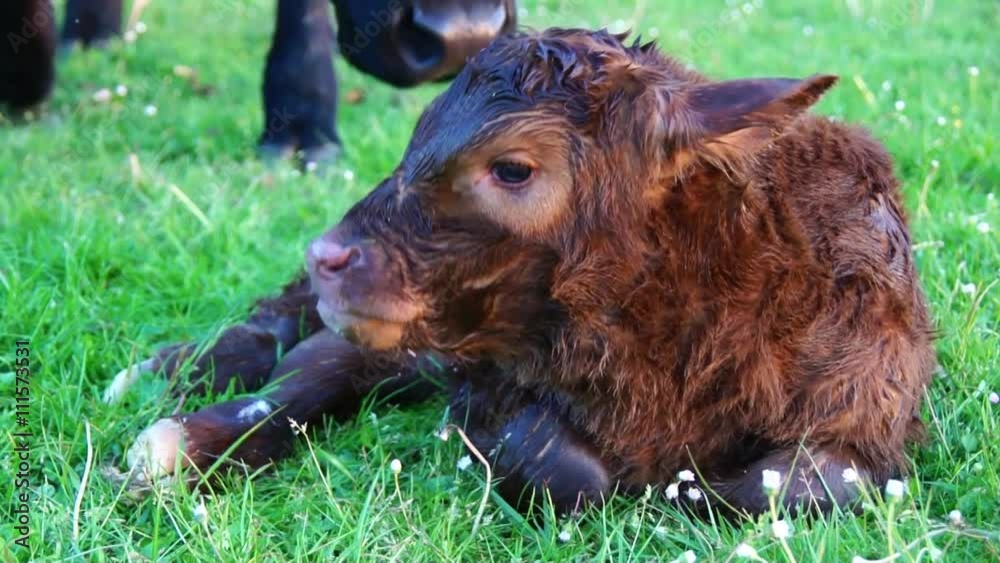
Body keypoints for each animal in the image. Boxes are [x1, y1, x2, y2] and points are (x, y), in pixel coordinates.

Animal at [109, 28, 935, 517]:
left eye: (511, 168)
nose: (328, 254)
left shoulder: (868, 411)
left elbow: (789, 489)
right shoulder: (475, 363)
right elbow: (561, 466)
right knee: (301, 351)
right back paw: (180, 397)